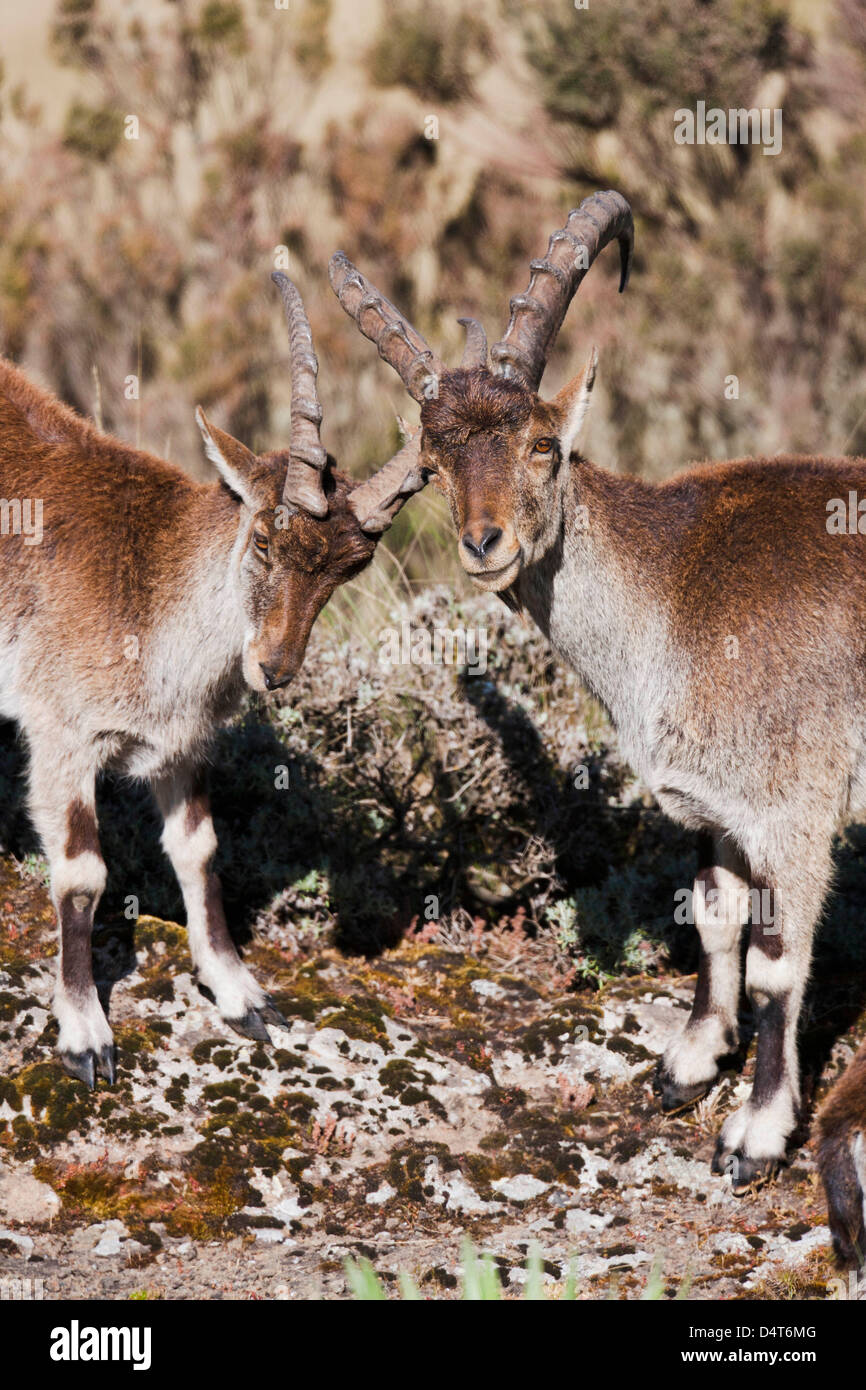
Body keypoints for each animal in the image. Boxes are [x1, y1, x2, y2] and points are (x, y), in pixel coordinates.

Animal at [0, 272, 426, 1087]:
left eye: (349, 568)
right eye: (262, 536)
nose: (274, 667)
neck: (149, 592)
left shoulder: (184, 744)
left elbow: (199, 850)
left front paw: (241, 995)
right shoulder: (61, 732)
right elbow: (82, 873)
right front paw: (86, 1035)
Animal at [330, 192, 866, 1265]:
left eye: (544, 445)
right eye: (433, 461)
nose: (485, 543)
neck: (674, 601)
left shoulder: (794, 811)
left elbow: (779, 966)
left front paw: (752, 1139)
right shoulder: (713, 809)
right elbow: (713, 920)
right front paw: (685, 1068)